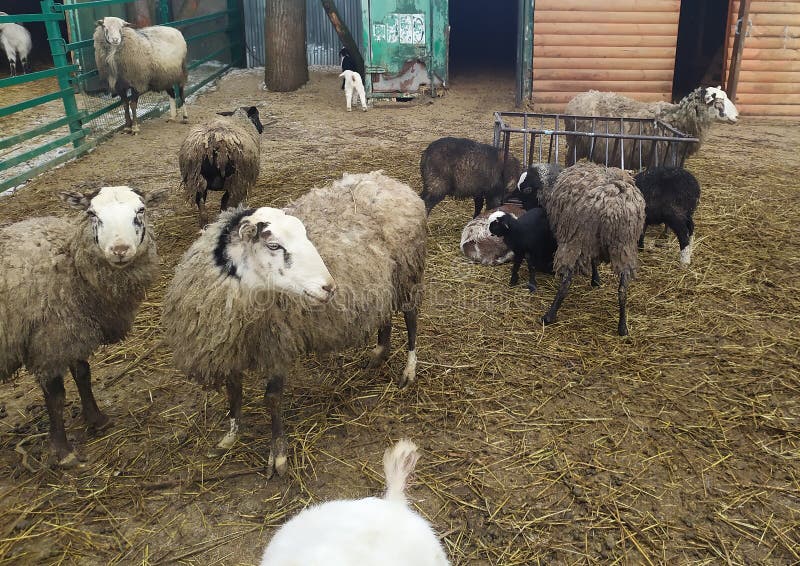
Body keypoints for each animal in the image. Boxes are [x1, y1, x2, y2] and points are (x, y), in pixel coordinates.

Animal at [0, 186, 166, 466]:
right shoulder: (50, 339)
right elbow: (55, 396)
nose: (120, 250)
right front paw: (62, 451)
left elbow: (83, 374)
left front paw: (97, 420)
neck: (68, 259)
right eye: (92, 213)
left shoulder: (73, 327)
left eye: (141, 210)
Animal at [161, 171, 426, 477]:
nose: (329, 287)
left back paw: (409, 370)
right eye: (273, 245)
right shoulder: (229, 345)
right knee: (384, 315)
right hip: (382, 282)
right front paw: (230, 435)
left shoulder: (277, 340)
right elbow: (233, 392)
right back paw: (379, 352)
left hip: (407, 274)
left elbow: (272, 398)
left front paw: (278, 455)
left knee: (411, 319)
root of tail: (391, 182)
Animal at [535, 162, 645, 336]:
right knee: (622, 289)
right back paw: (623, 327)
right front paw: (596, 280)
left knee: (566, 282)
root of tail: (613, 207)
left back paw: (549, 316)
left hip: (576, 240)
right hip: (624, 246)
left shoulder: (584, 239)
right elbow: (594, 261)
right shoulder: (593, 243)